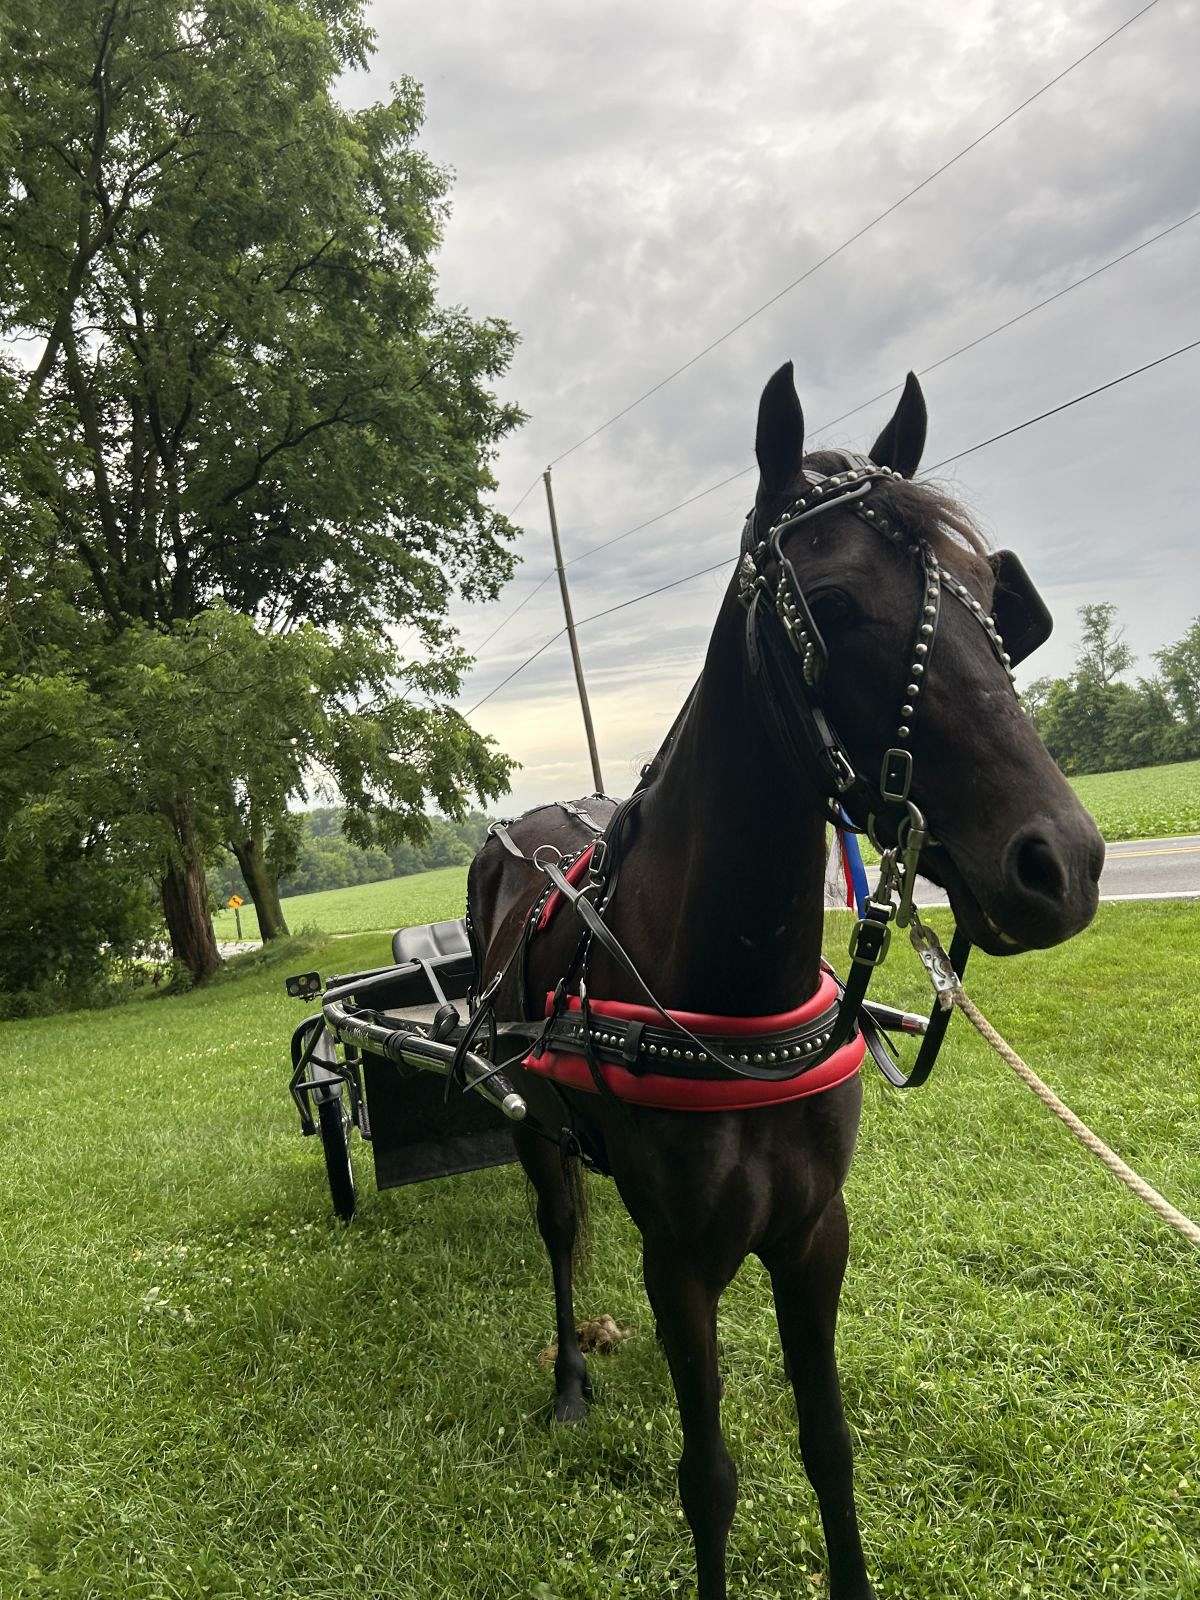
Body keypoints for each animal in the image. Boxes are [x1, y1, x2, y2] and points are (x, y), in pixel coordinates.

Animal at [466, 362, 1104, 1600]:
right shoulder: (680, 1263)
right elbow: (707, 1476)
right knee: (559, 1229)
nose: (1062, 862)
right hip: (529, 1122)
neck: (731, 1000)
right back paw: (568, 1378)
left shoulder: (815, 1233)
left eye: (992, 603)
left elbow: (829, 1445)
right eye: (837, 604)